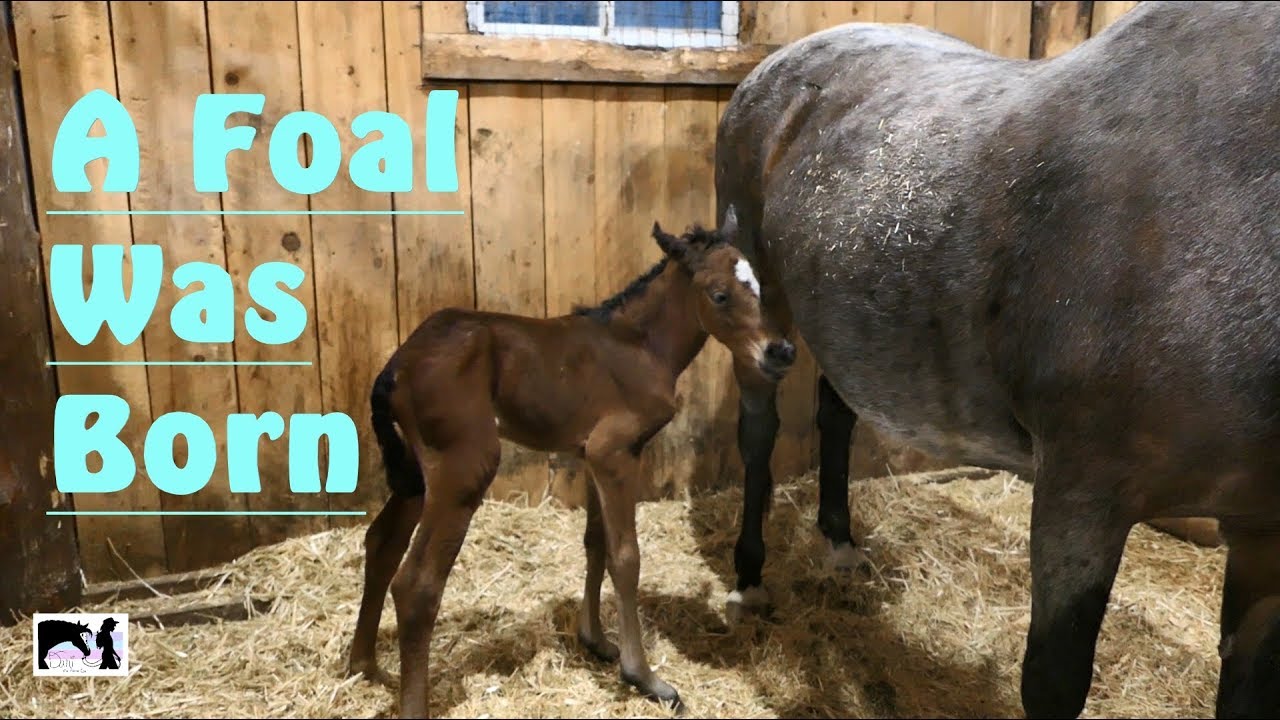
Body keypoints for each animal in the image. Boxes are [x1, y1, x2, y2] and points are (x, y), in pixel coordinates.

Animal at [345, 211, 797, 718]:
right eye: (719, 294)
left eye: (758, 286)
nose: (780, 352)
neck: (641, 345)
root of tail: (396, 366)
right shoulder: (615, 451)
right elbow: (626, 557)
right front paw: (645, 678)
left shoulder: (591, 455)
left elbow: (595, 543)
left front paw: (596, 641)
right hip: (464, 468)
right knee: (417, 583)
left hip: (416, 474)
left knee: (381, 543)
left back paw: (364, 666)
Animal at [712, 2, 1280, 717]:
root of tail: (771, 69)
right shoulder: (1081, 498)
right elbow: (1053, 682)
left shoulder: (1263, 536)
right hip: (760, 304)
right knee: (757, 435)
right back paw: (749, 578)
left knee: (837, 416)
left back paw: (840, 544)